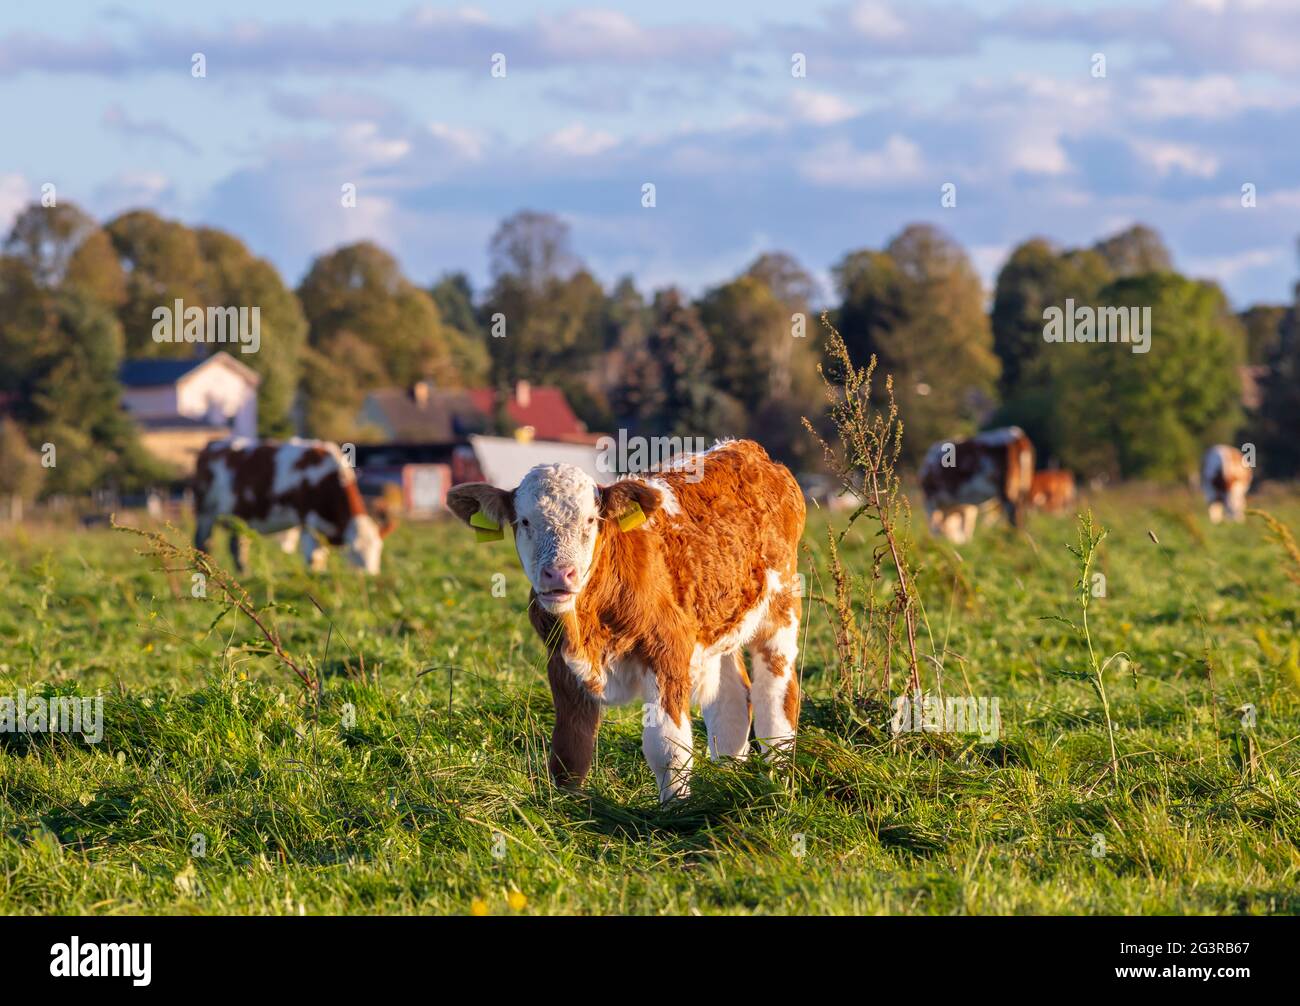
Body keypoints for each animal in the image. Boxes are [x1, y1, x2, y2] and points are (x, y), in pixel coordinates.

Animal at [193, 438, 393, 574]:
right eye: (354, 552)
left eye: (379, 550)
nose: (371, 577)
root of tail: (212, 444)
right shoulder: (308, 523)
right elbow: (313, 560)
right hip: (205, 511)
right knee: (203, 542)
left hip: (239, 517)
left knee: (237, 546)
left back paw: (244, 573)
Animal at [446, 439, 805, 804]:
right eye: (524, 521)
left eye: (591, 519)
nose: (559, 574)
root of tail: (745, 449)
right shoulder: (561, 663)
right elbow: (570, 749)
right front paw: (567, 808)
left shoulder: (668, 652)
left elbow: (668, 748)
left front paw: (677, 809)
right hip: (719, 626)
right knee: (731, 703)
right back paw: (729, 776)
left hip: (781, 607)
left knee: (775, 701)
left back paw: (777, 783)